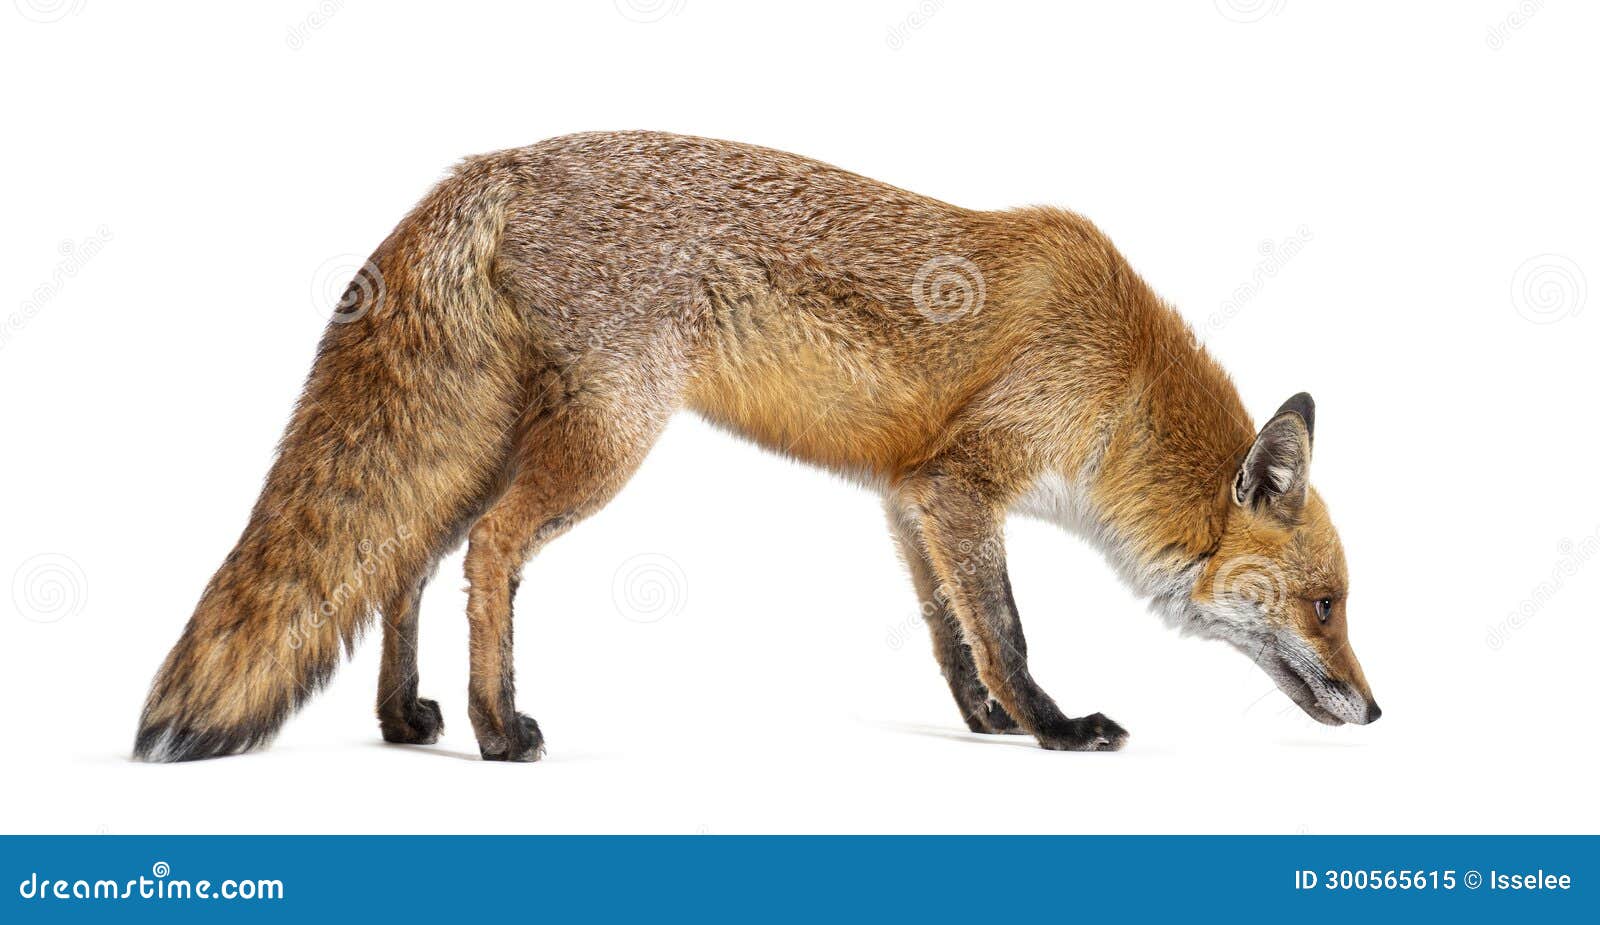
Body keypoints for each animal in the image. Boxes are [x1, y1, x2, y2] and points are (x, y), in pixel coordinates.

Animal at [134, 131, 1379, 762]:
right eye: (1326, 606)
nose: (1375, 714)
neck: (1118, 383)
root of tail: (495, 162)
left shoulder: (907, 495)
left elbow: (951, 634)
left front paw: (983, 724)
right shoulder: (963, 483)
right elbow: (1008, 629)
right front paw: (1054, 728)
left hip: (492, 445)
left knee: (404, 563)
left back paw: (403, 720)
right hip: (605, 439)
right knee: (489, 554)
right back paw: (496, 728)